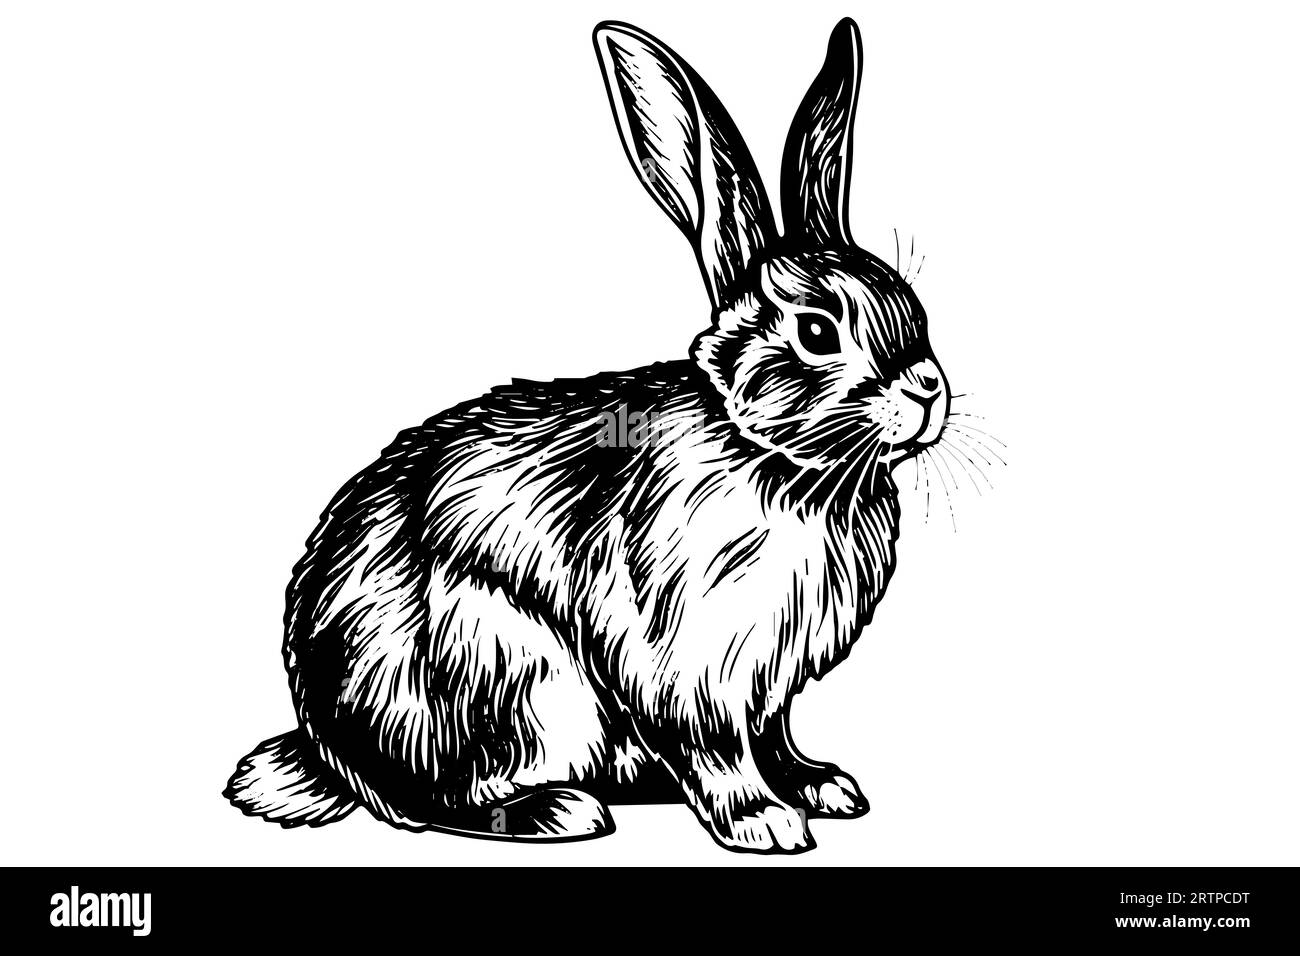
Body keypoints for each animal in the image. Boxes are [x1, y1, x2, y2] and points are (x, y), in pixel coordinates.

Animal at [225, 17, 951, 854]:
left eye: (911, 304)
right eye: (817, 332)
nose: (928, 390)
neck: (774, 459)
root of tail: (328, 742)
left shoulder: (769, 685)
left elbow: (774, 738)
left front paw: (820, 786)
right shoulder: (681, 661)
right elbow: (714, 747)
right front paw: (762, 821)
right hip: (503, 672)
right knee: (438, 798)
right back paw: (557, 810)